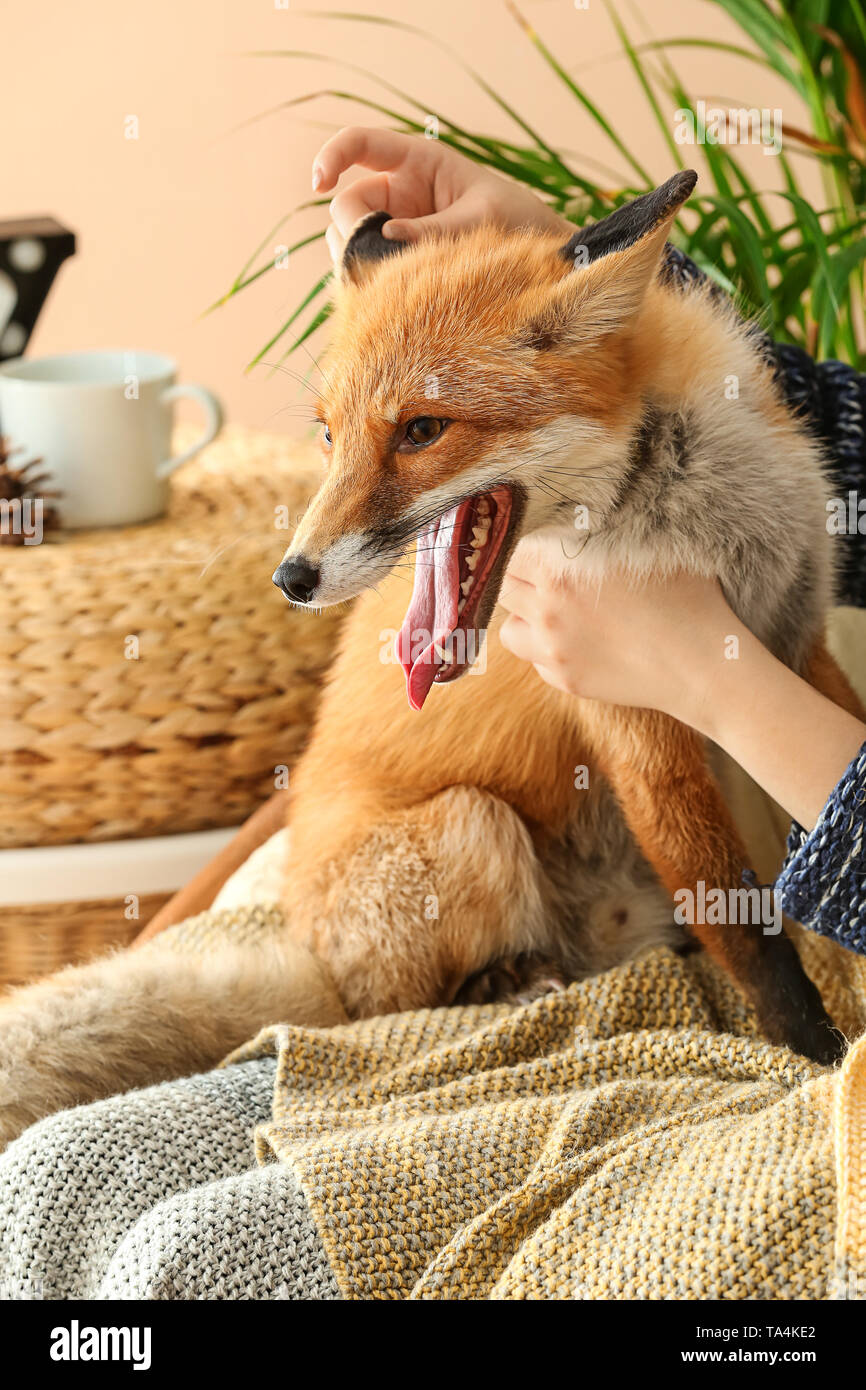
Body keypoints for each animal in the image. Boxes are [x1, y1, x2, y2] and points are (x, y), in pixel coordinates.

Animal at [1, 171, 863, 1146]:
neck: (704, 530)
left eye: (421, 430)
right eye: (328, 434)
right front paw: (815, 1053)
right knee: (379, 1006)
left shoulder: (794, 647)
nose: (290, 578)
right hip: (470, 824)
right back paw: (502, 982)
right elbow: (742, 928)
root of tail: (303, 939)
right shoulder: (638, 723)